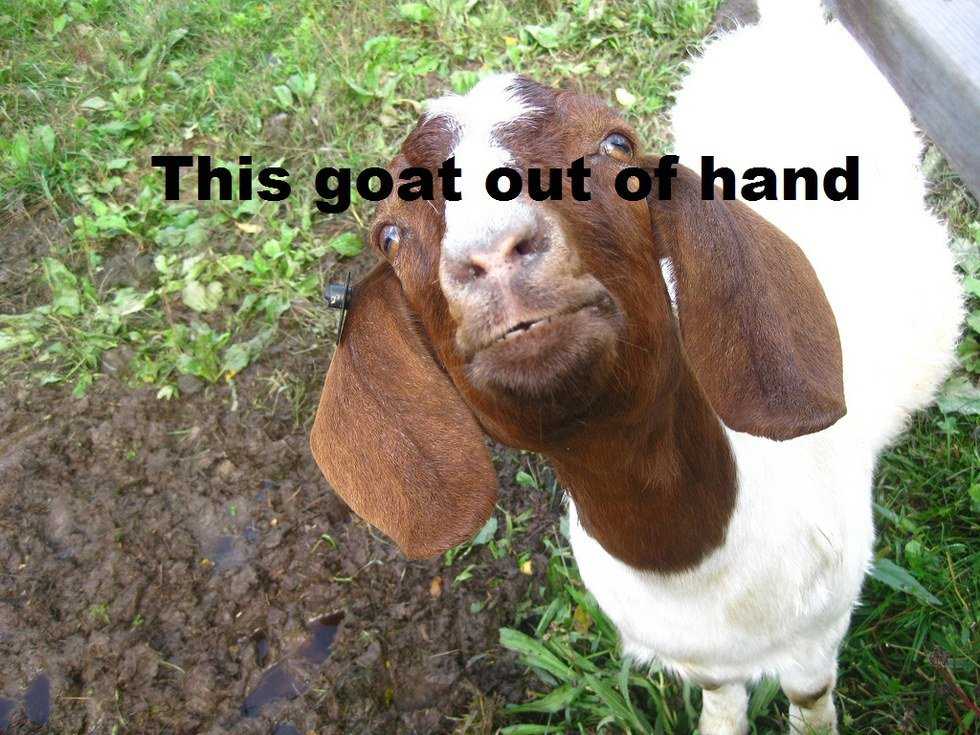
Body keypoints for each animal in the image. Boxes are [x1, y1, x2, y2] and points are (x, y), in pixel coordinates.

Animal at [309, 2, 964, 732]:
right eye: (390, 235)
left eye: (616, 145)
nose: (495, 254)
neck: (692, 569)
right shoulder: (696, 656)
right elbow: (721, 695)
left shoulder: (816, 635)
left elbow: (809, 700)